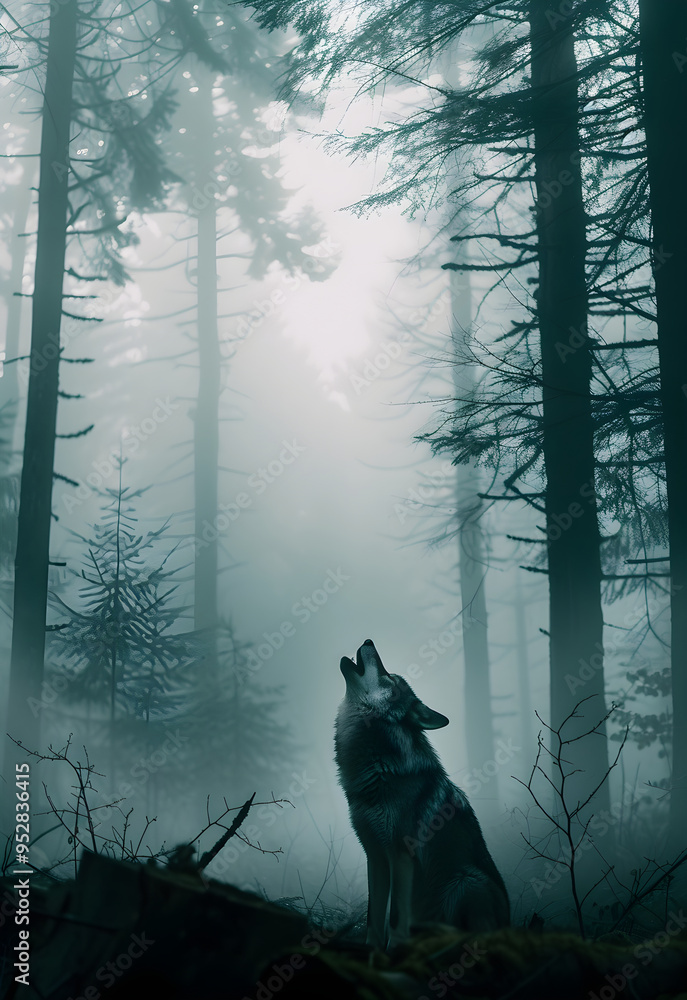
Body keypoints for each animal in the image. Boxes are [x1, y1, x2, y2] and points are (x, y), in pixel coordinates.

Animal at [334, 639, 509, 949]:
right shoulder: (375, 856)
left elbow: (394, 917)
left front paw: (396, 950)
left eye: (390, 678)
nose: (368, 640)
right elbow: (373, 918)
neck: (377, 767)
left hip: (465, 880)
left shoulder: (401, 855)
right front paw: (372, 951)